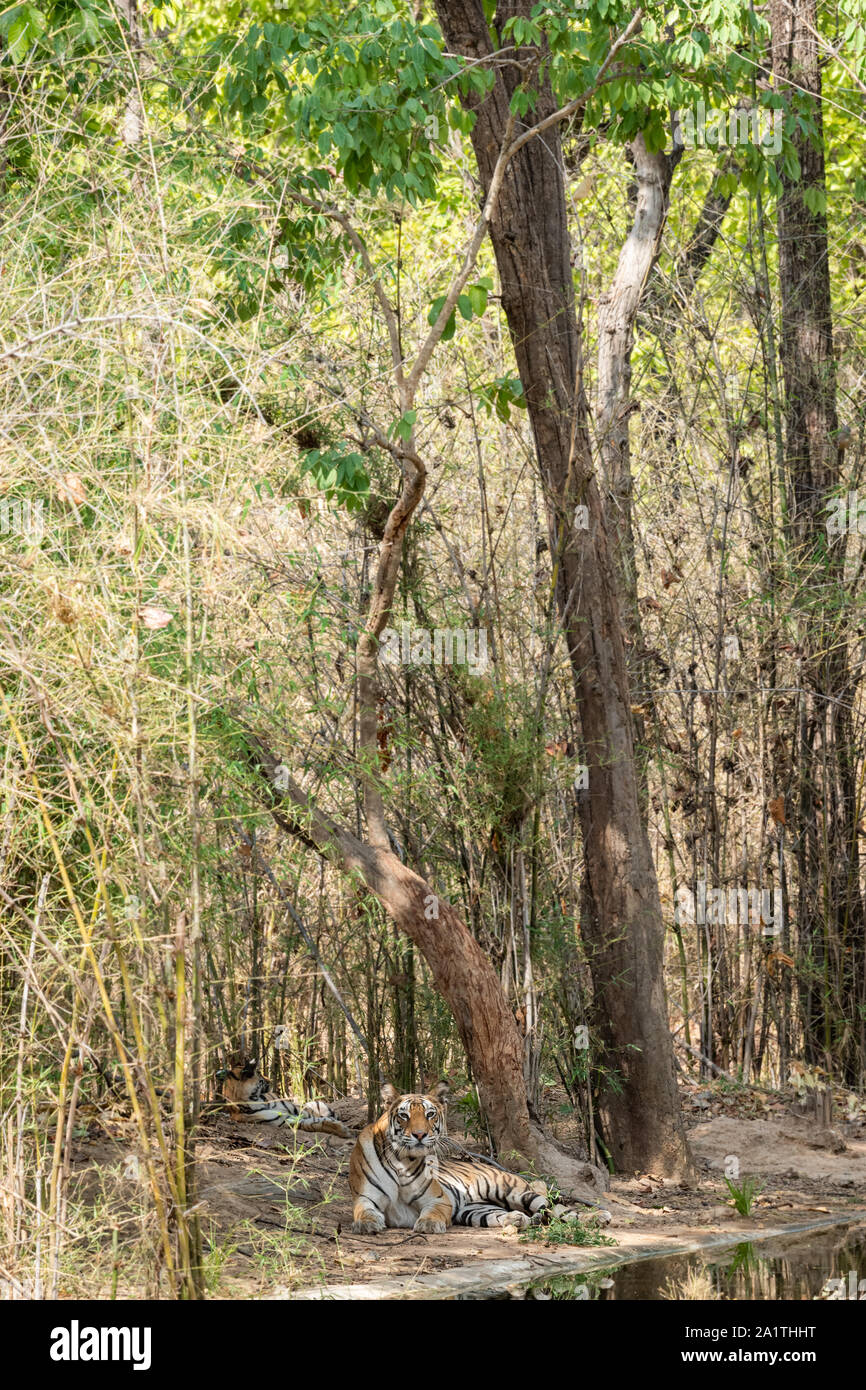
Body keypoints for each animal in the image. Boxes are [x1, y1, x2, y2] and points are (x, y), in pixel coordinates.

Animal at [215, 1058, 354, 1140]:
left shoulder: (299, 1111)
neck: (256, 1100)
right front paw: (342, 1130)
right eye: (260, 1077)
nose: (270, 1081)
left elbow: (316, 1118)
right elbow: (314, 1124)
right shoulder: (286, 1120)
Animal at [349, 1082, 549, 1233]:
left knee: (549, 1206)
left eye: (430, 1114)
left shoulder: (438, 1199)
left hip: (511, 1191)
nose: (419, 1134)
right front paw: (366, 1224)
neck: (401, 1160)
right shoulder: (365, 1197)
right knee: (503, 1215)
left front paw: (429, 1224)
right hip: (476, 1210)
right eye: (404, 1115)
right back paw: (518, 1219)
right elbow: (363, 1211)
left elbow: (433, 1213)